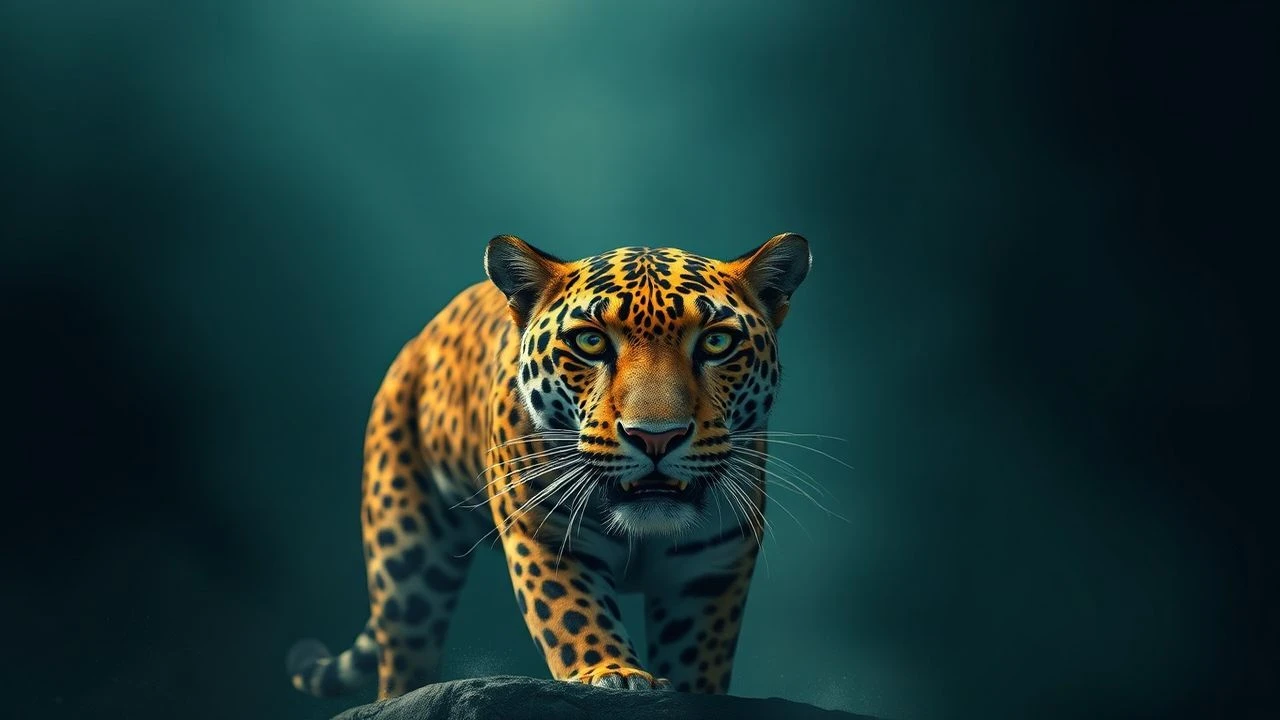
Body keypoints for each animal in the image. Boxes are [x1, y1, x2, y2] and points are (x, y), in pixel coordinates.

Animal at [286, 233, 811, 699]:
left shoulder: (710, 570)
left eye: (717, 343)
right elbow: (574, 614)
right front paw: (615, 674)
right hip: (405, 559)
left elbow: (699, 655)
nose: (655, 437)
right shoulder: (548, 536)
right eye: (591, 343)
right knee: (402, 654)